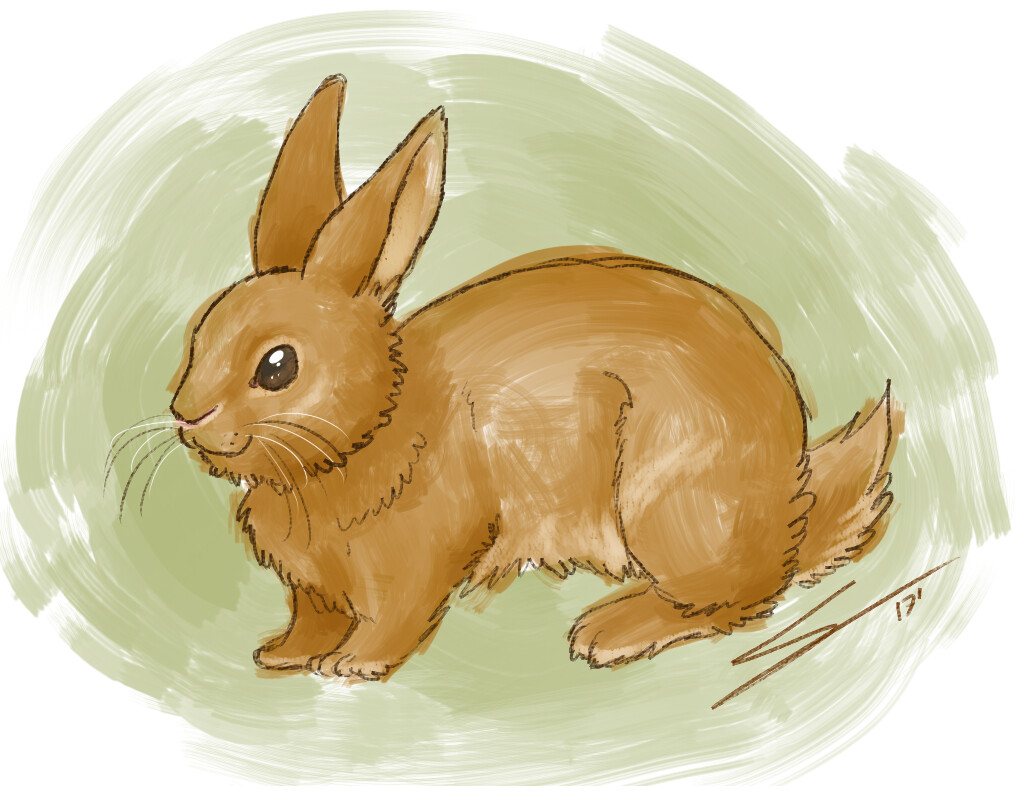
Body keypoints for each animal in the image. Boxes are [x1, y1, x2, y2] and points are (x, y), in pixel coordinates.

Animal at [166, 75, 901, 682]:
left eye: (278, 367)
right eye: (199, 334)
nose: (185, 415)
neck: (369, 428)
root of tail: (793, 503)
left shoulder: (417, 559)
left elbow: (392, 620)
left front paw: (352, 667)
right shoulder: (312, 589)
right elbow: (311, 618)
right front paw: (281, 656)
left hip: (671, 506)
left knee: (734, 601)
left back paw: (608, 632)